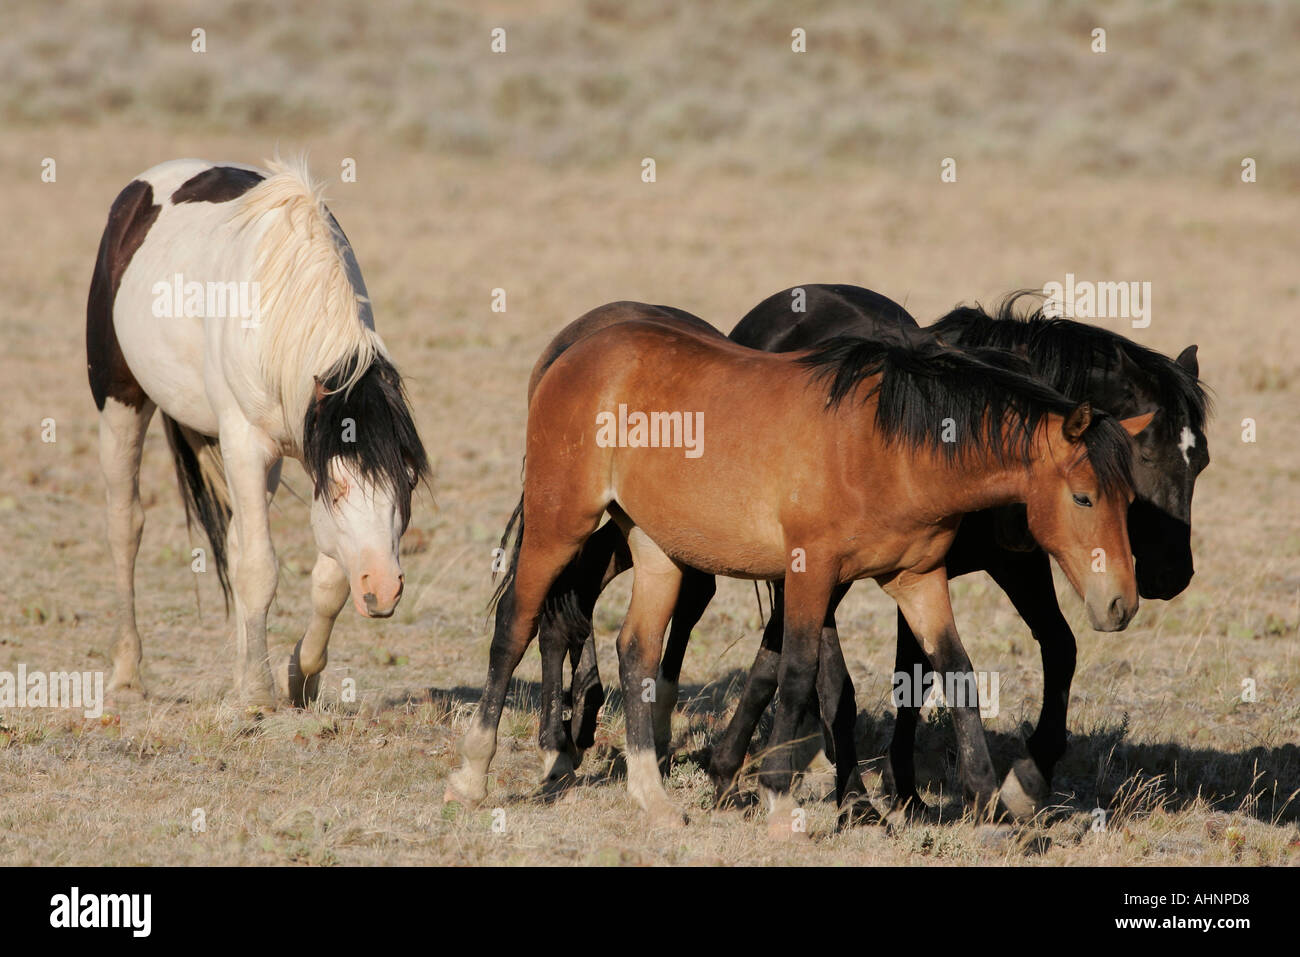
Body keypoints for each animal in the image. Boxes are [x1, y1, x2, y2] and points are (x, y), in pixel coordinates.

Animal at [86, 157, 429, 708]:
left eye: (409, 483)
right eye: (339, 486)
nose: (383, 588)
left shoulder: (300, 448)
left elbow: (326, 578)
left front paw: (296, 674)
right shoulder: (247, 446)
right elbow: (260, 570)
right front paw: (259, 697)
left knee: (235, 538)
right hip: (121, 404)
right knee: (125, 526)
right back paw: (127, 671)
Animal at [446, 304, 1152, 832]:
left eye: (1129, 500)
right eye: (1084, 497)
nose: (1121, 604)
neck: (888, 448)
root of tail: (577, 351)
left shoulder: (916, 580)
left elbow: (958, 674)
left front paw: (992, 800)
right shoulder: (811, 574)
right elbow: (798, 671)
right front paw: (780, 799)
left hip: (655, 549)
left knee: (637, 651)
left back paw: (654, 799)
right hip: (559, 524)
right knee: (515, 627)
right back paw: (473, 775)